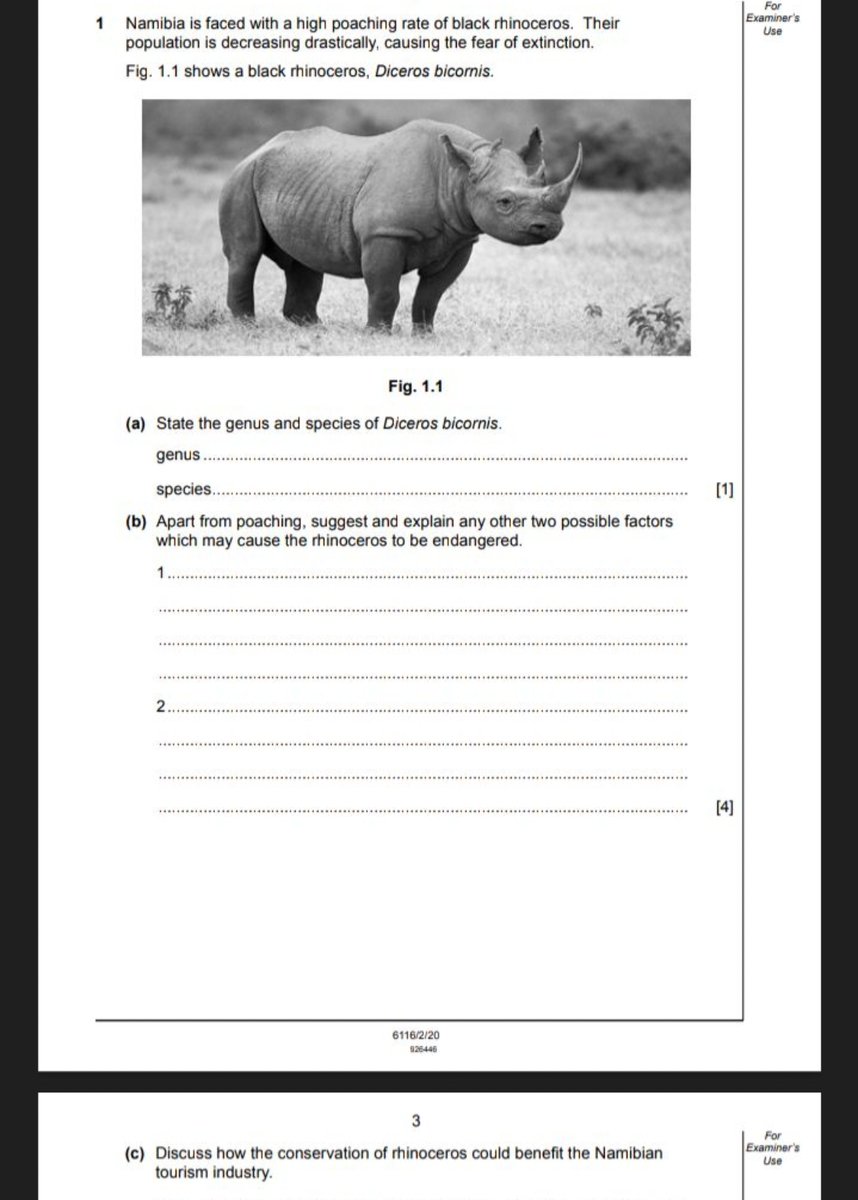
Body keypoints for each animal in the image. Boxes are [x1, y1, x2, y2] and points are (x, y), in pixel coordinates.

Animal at [219, 119, 583, 332]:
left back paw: (312, 327)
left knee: (305, 260)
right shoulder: (385, 234)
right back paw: (248, 327)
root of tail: (258, 149)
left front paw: (425, 335)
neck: (456, 174)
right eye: (504, 202)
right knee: (245, 254)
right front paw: (377, 333)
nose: (549, 226)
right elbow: (384, 289)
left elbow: (432, 293)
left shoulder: (460, 240)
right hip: (241, 178)